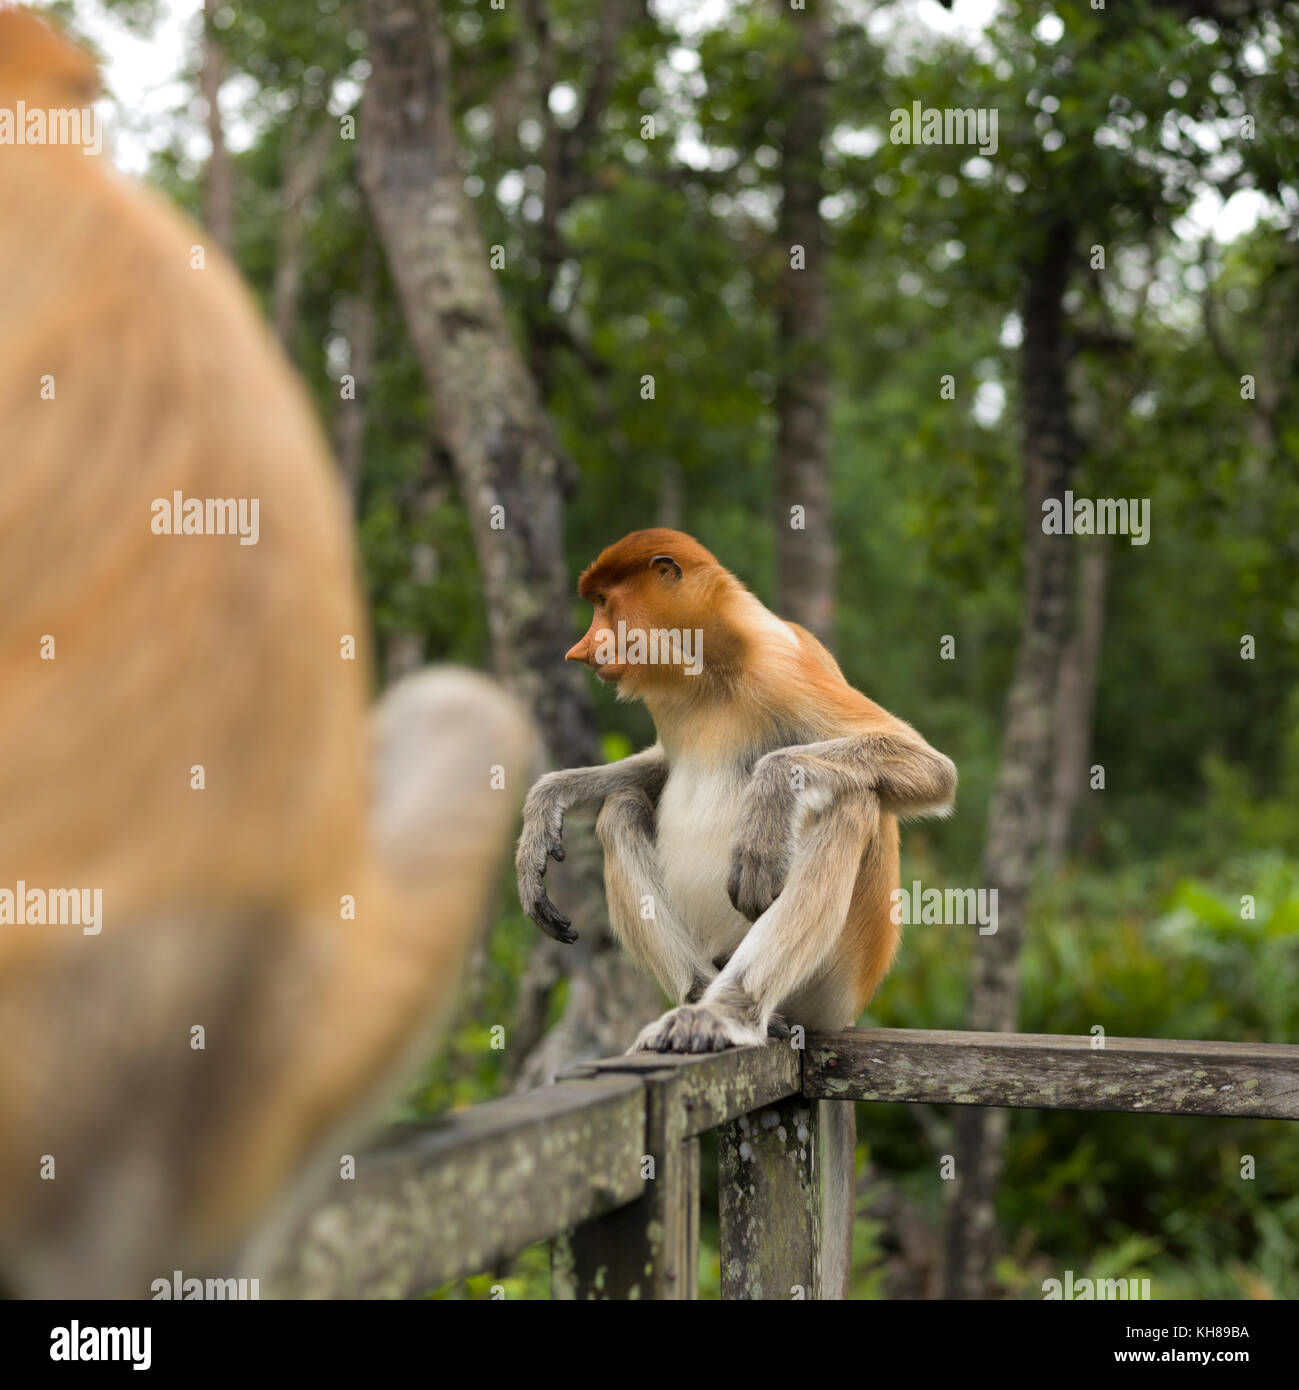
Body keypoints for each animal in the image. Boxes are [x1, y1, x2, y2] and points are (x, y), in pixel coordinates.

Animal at [517, 529, 956, 1055]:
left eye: (604, 603)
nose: (579, 651)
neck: (706, 669)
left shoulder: (780, 665)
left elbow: (929, 765)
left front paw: (767, 805)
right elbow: (660, 768)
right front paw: (545, 806)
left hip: (834, 987)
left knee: (853, 802)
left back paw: (726, 1013)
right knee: (620, 808)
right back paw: (697, 996)